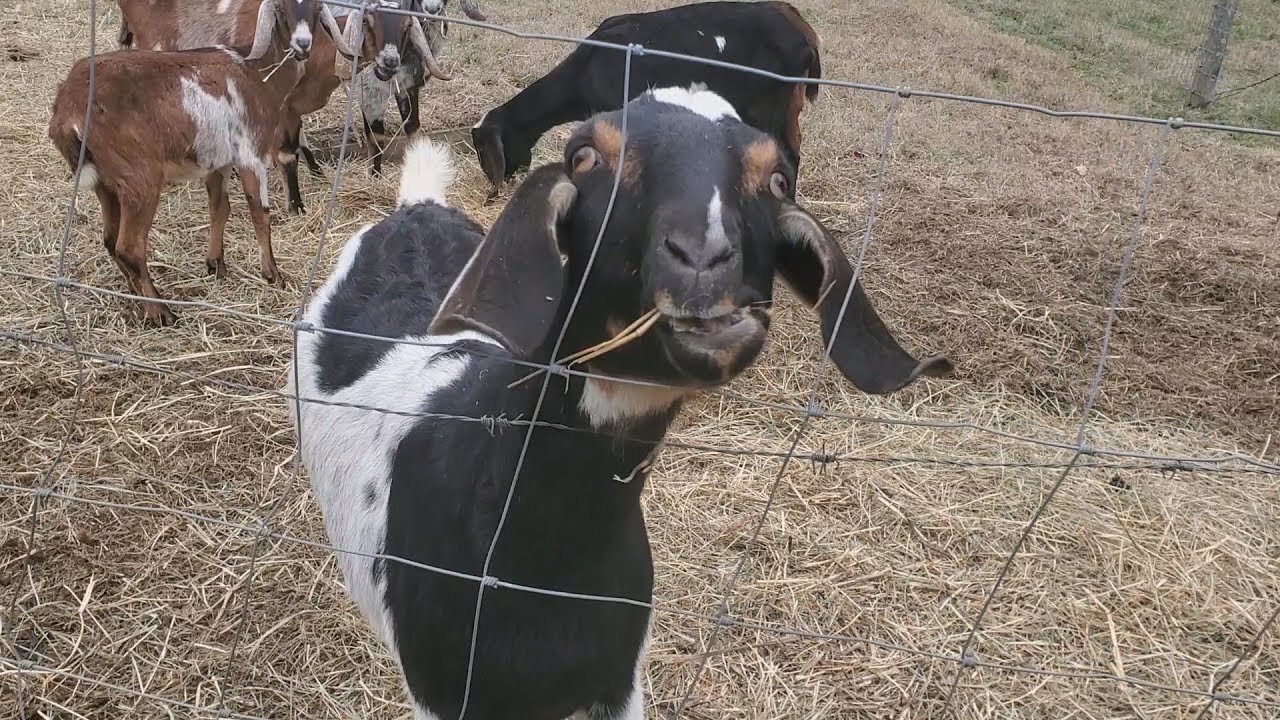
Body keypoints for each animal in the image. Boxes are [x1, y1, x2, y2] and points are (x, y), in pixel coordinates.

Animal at [49, 0, 329, 325]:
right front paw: (273, 275)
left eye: (317, 8)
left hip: (106, 181)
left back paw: (138, 298)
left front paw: (216, 266)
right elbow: (260, 213)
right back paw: (161, 312)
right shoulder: (251, 153)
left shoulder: (218, 162)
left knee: (110, 240)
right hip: (139, 178)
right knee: (129, 246)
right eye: (281, 10)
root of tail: (67, 111)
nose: (303, 45)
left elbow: (220, 209)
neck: (256, 72)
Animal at [288, 85, 952, 720]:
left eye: (778, 180)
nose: (703, 261)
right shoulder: (444, 693)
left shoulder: (619, 681)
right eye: (584, 157)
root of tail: (415, 206)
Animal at [471, 1, 822, 197]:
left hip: (769, 108)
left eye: (482, 151)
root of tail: (800, 27)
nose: (494, 188)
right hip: (790, 107)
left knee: (786, 156)